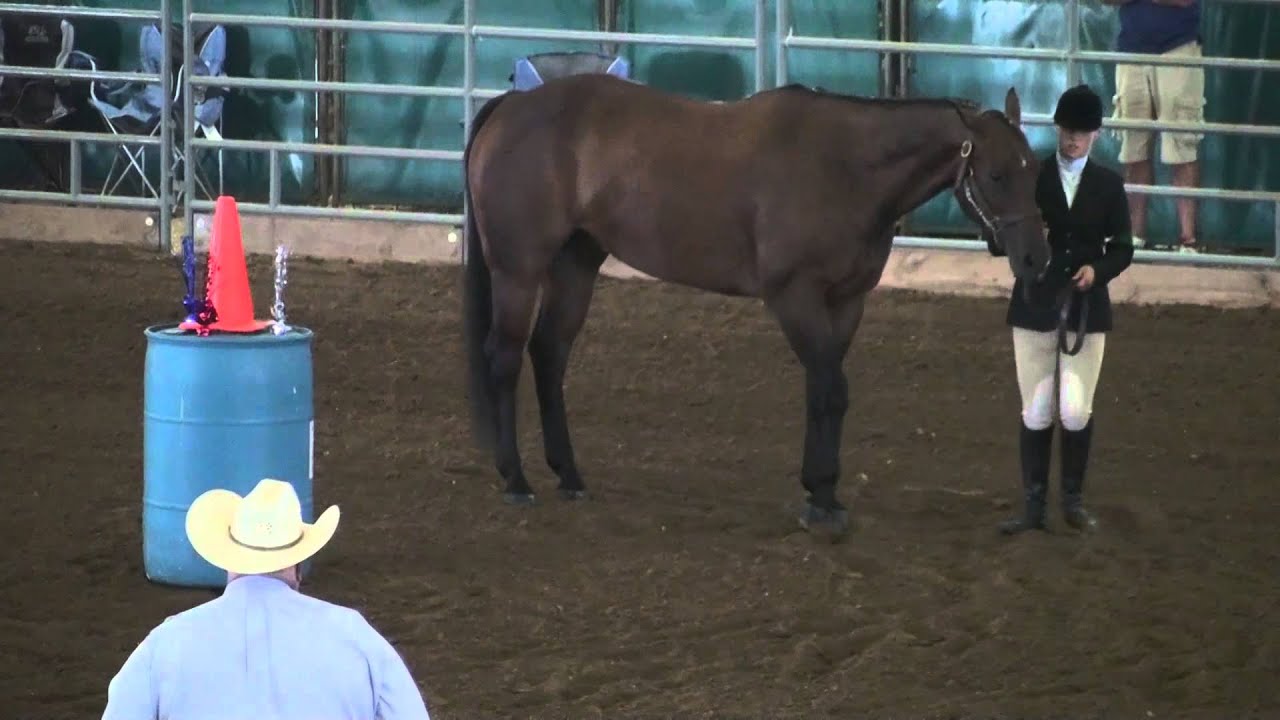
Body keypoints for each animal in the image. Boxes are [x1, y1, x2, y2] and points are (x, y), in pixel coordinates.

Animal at [460, 73, 1051, 537]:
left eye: (1034, 170)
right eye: (996, 174)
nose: (1036, 257)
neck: (844, 167)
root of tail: (511, 106)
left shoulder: (845, 303)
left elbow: (825, 393)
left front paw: (821, 492)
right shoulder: (794, 297)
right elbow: (830, 390)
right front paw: (822, 500)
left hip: (577, 263)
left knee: (549, 354)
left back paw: (569, 476)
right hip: (518, 271)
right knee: (505, 357)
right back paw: (516, 480)